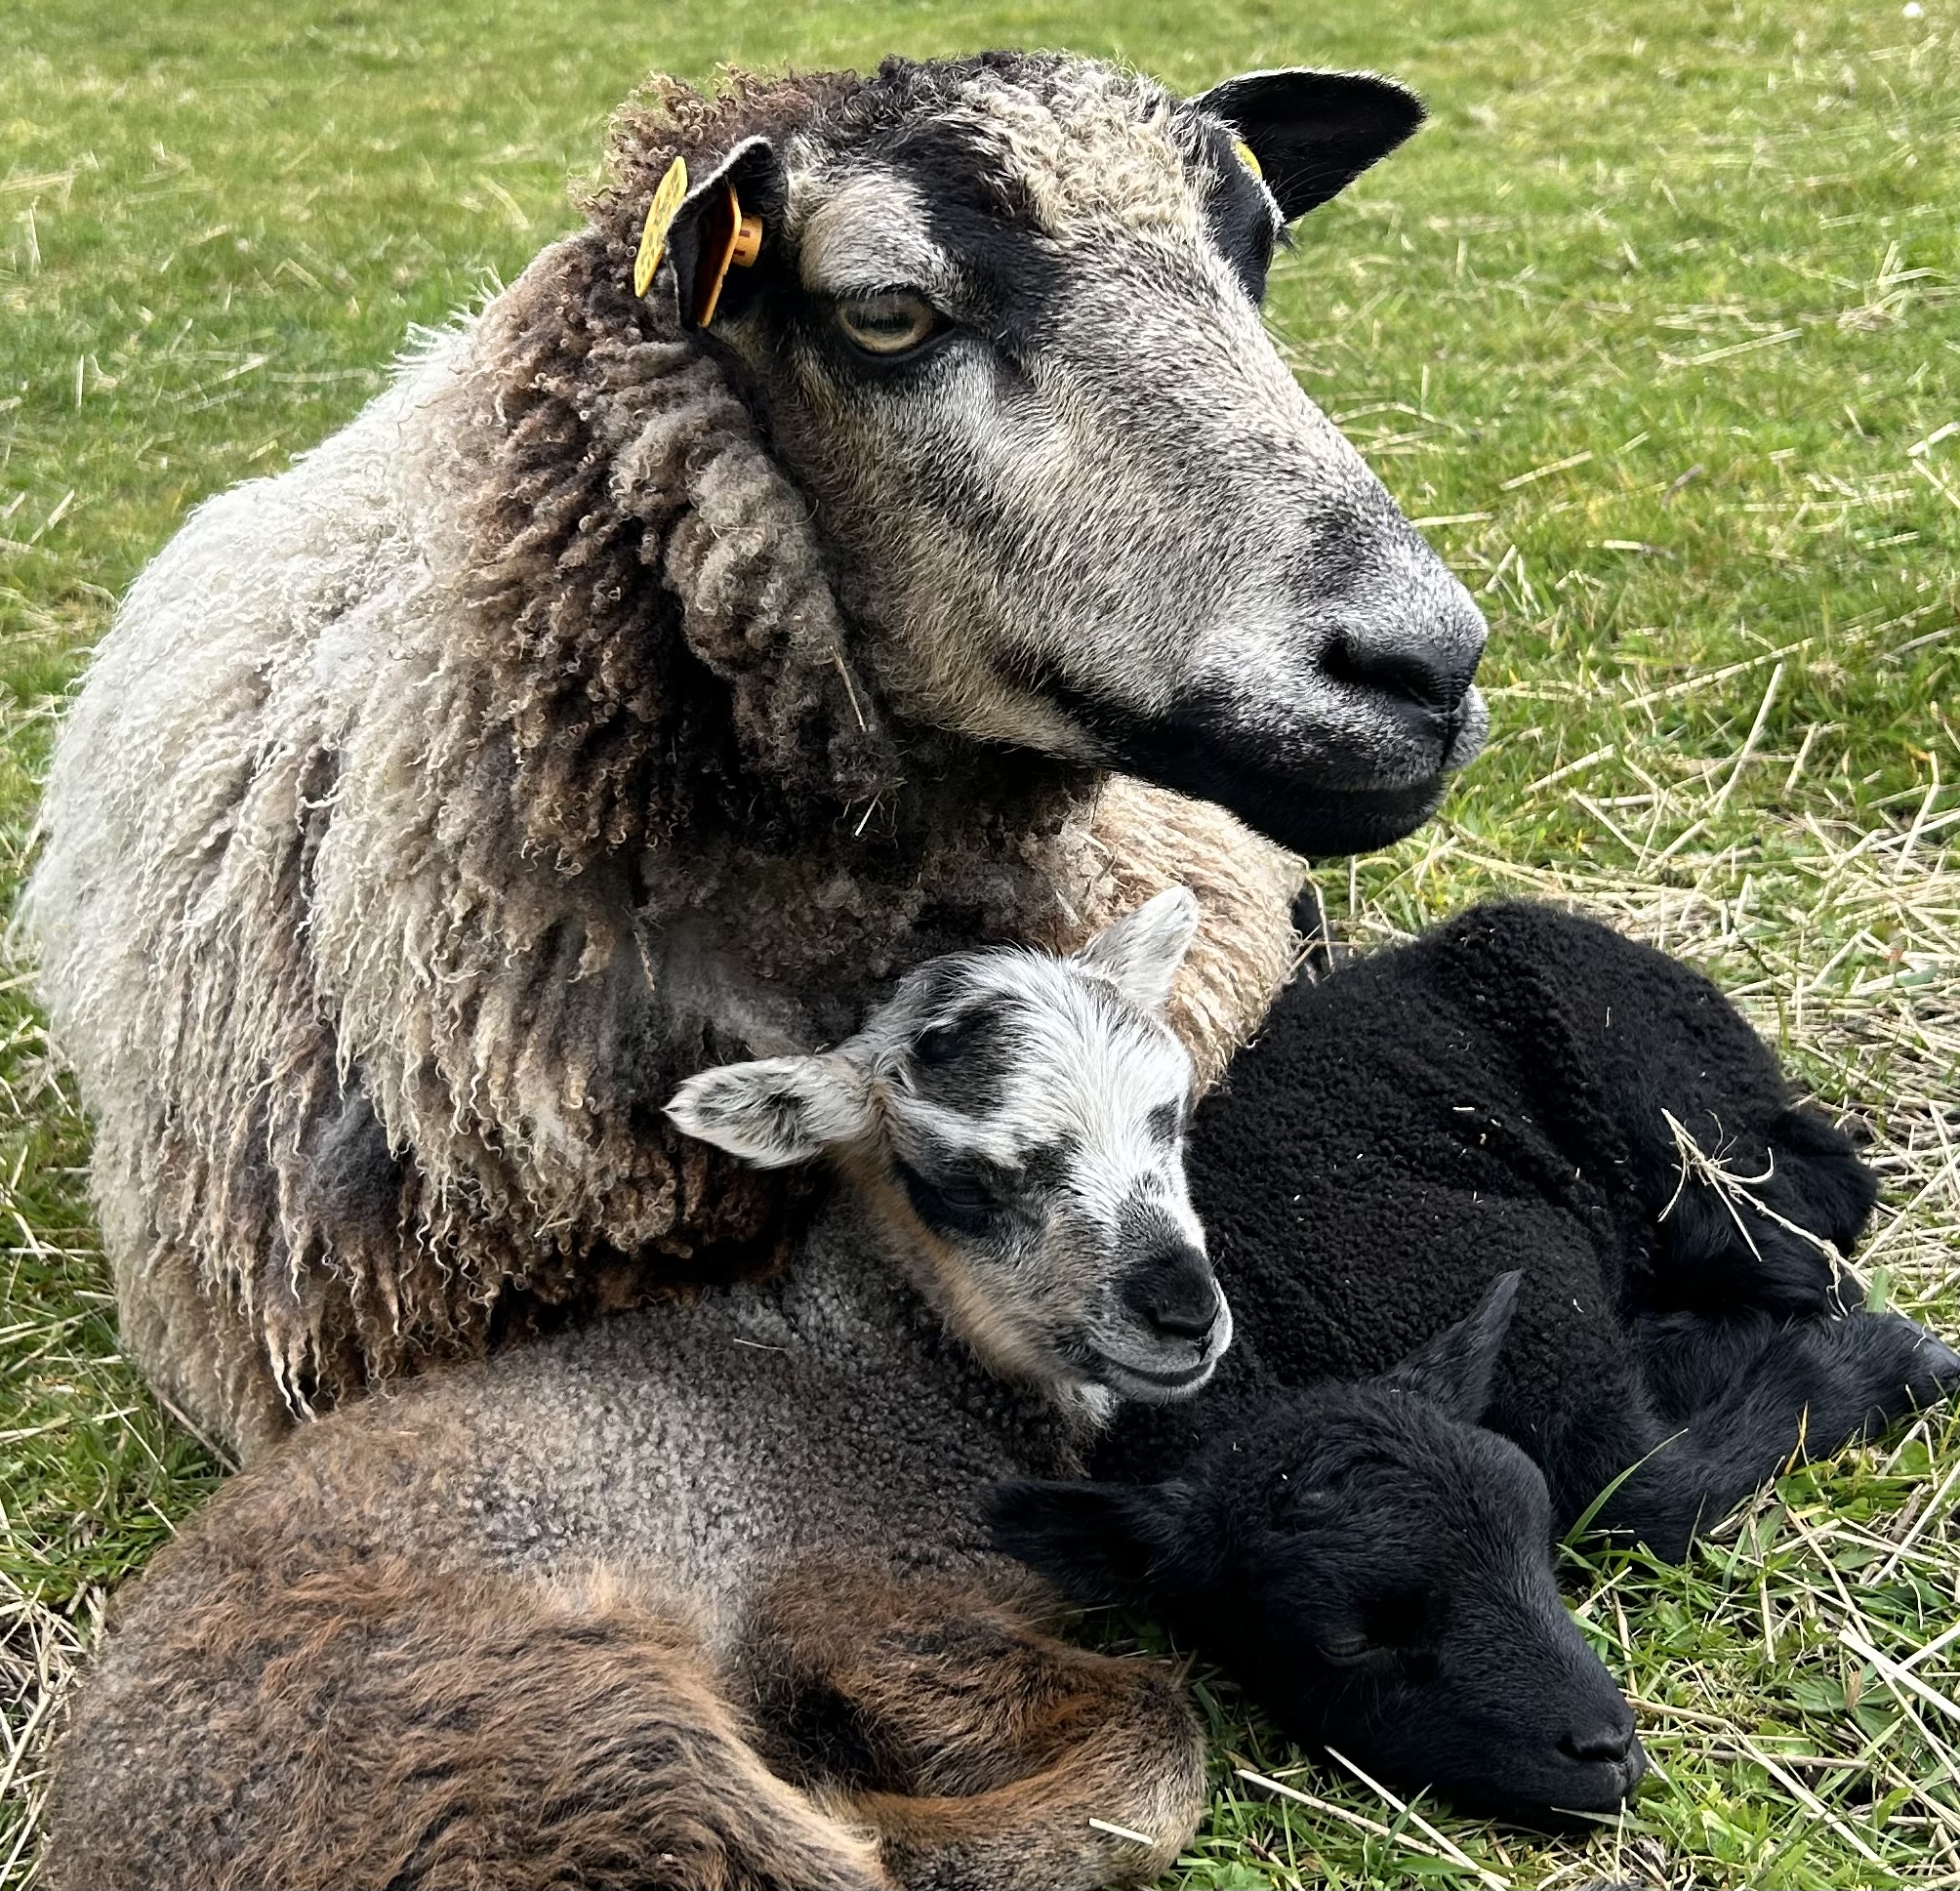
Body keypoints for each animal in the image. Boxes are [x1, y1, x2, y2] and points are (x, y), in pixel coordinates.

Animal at [42, 892, 1232, 1891]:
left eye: (1170, 1117)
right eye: (966, 1182)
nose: (1183, 1310)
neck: (881, 1369)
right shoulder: (846, 1605)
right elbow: (1159, 1732)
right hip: (554, 1744)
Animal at [994, 901, 1960, 1812]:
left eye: (1531, 1532)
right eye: (1348, 1640)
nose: (1607, 1750)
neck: (1270, 1336)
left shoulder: (1551, 1325)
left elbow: (1645, 1491)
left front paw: (1891, 1358)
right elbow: (1645, 1491)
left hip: (1681, 1121)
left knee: (1809, 1211)